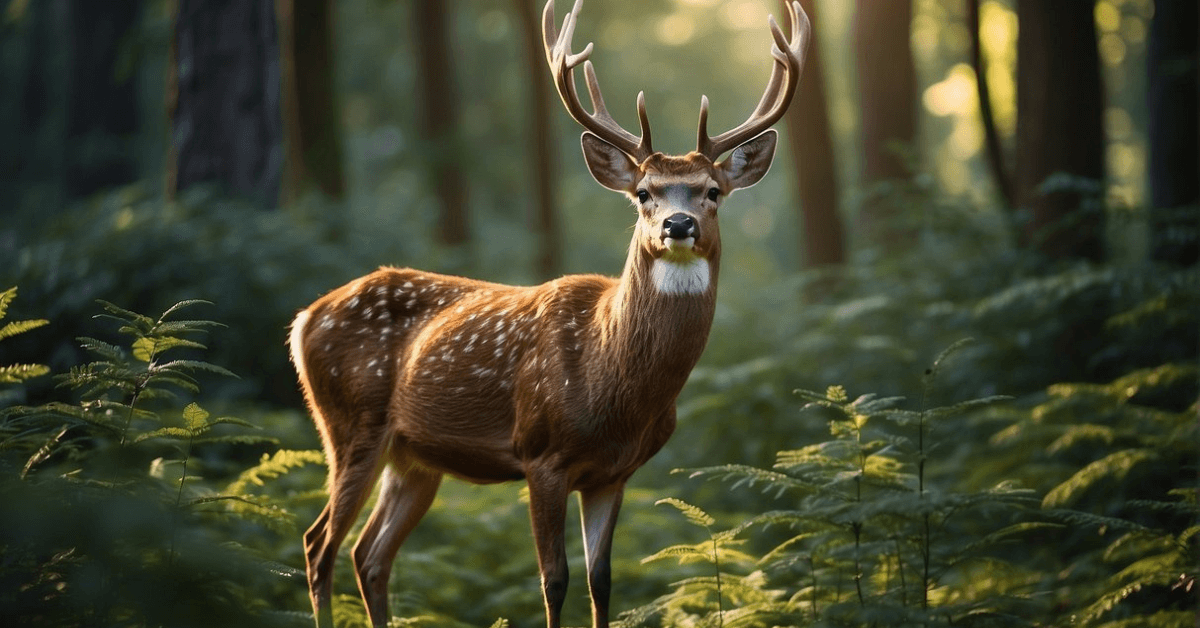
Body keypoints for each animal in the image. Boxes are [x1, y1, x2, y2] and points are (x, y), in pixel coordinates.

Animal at [289, 1, 809, 626]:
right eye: (644, 193)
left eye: (712, 191)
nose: (677, 225)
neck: (611, 379)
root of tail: (303, 319)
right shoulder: (540, 453)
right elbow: (553, 580)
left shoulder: (614, 471)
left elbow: (601, 579)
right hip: (349, 423)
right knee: (319, 544)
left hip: (413, 457)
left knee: (369, 554)